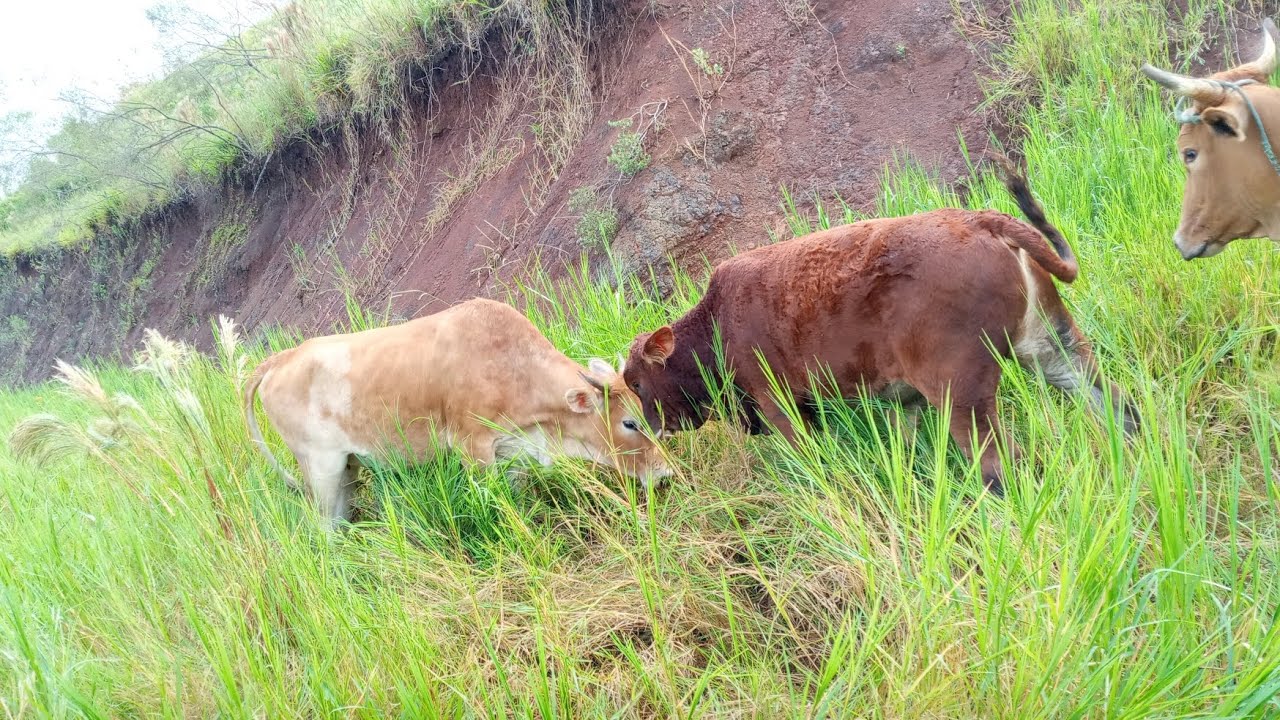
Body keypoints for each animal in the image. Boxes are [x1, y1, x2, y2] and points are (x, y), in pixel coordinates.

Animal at [243, 298, 671, 525]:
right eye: (629, 423)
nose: (665, 473)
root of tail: (282, 358)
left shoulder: (512, 452)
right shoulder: (472, 447)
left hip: (347, 469)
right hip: (322, 470)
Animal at [621, 156, 1138, 496]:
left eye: (636, 382)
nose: (644, 427)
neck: (715, 322)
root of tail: (979, 220)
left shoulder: (780, 406)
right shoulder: (899, 404)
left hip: (961, 396)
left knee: (997, 464)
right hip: (1055, 348)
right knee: (1115, 404)